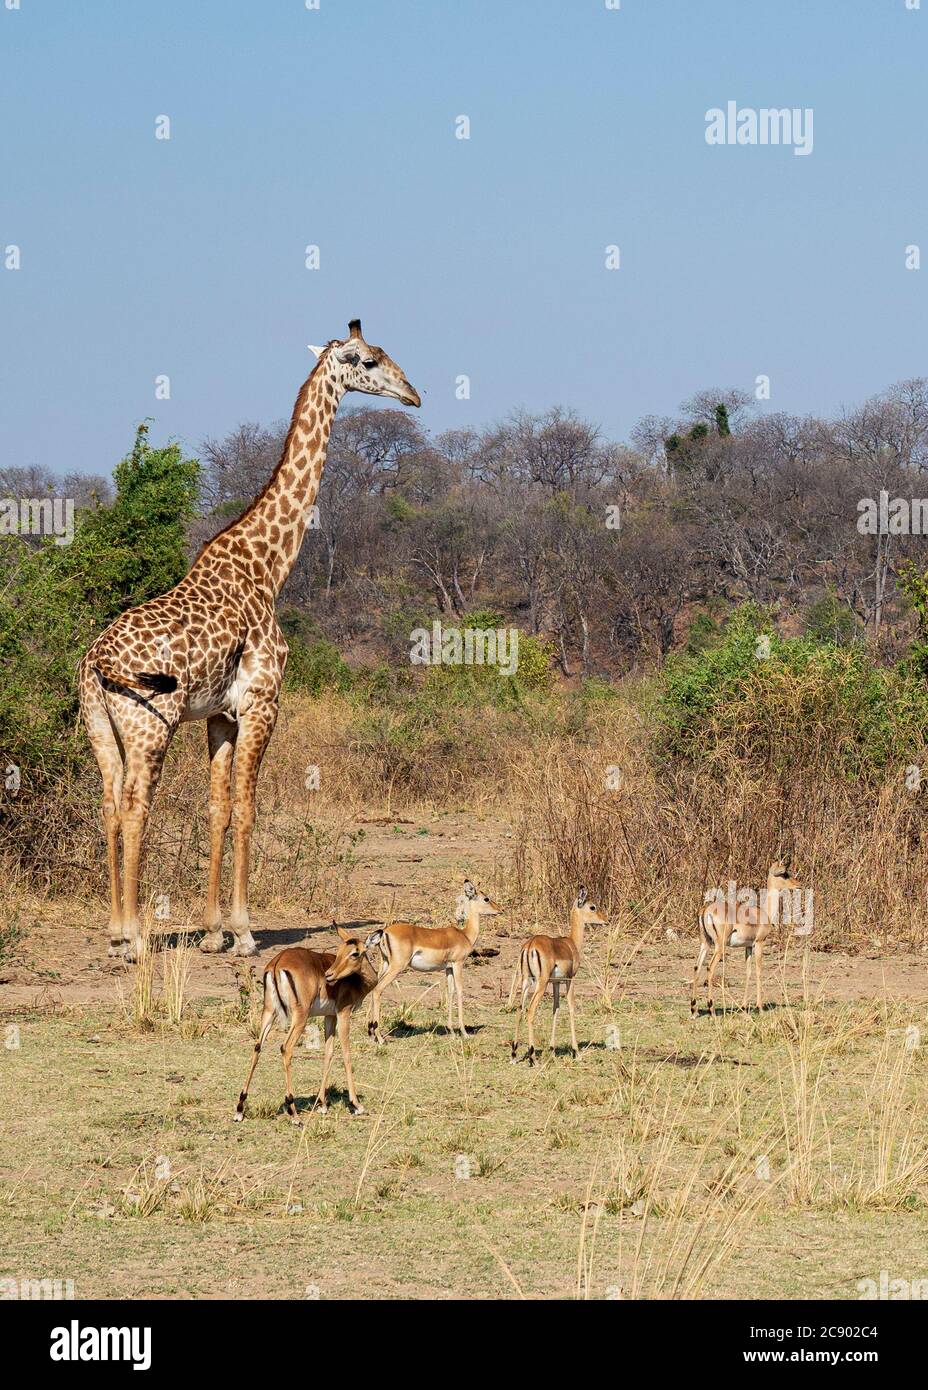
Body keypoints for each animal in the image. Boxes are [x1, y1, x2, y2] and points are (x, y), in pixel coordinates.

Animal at [78, 321, 420, 963]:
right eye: (368, 360)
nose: (414, 394)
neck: (269, 565)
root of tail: (96, 663)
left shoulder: (221, 714)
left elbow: (216, 808)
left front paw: (212, 930)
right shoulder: (264, 700)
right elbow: (247, 806)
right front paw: (242, 931)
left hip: (100, 727)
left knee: (109, 801)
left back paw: (112, 932)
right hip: (150, 724)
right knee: (135, 805)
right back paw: (135, 937)